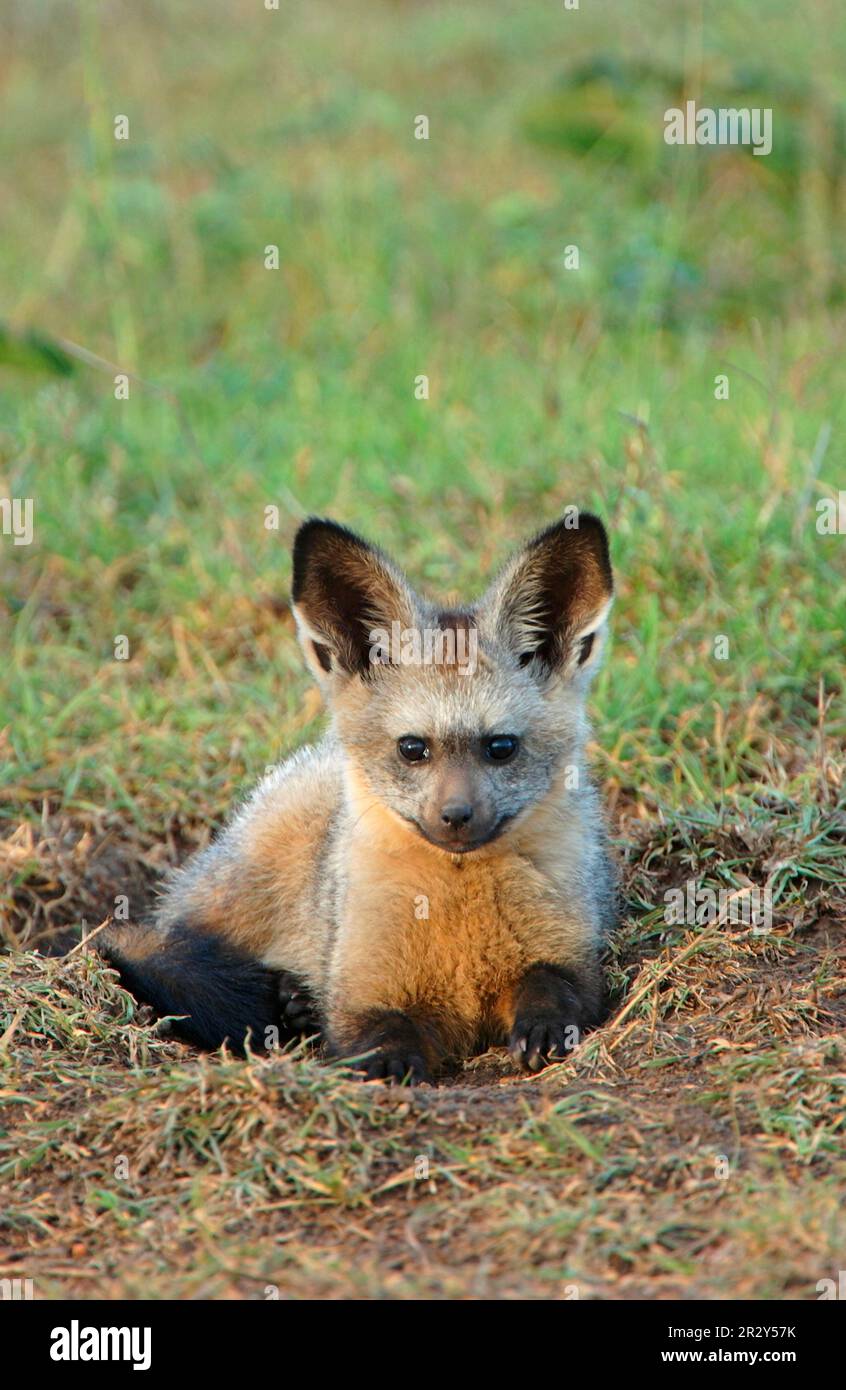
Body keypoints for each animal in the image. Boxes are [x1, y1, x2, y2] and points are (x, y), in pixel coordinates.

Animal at [100, 512, 617, 1083]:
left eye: (501, 747)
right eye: (412, 748)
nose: (456, 816)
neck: (458, 910)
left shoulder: (571, 955)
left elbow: (555, 991)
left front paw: (543, 1030)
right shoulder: (362, 996)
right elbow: (376, 1040)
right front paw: (390, 1067)